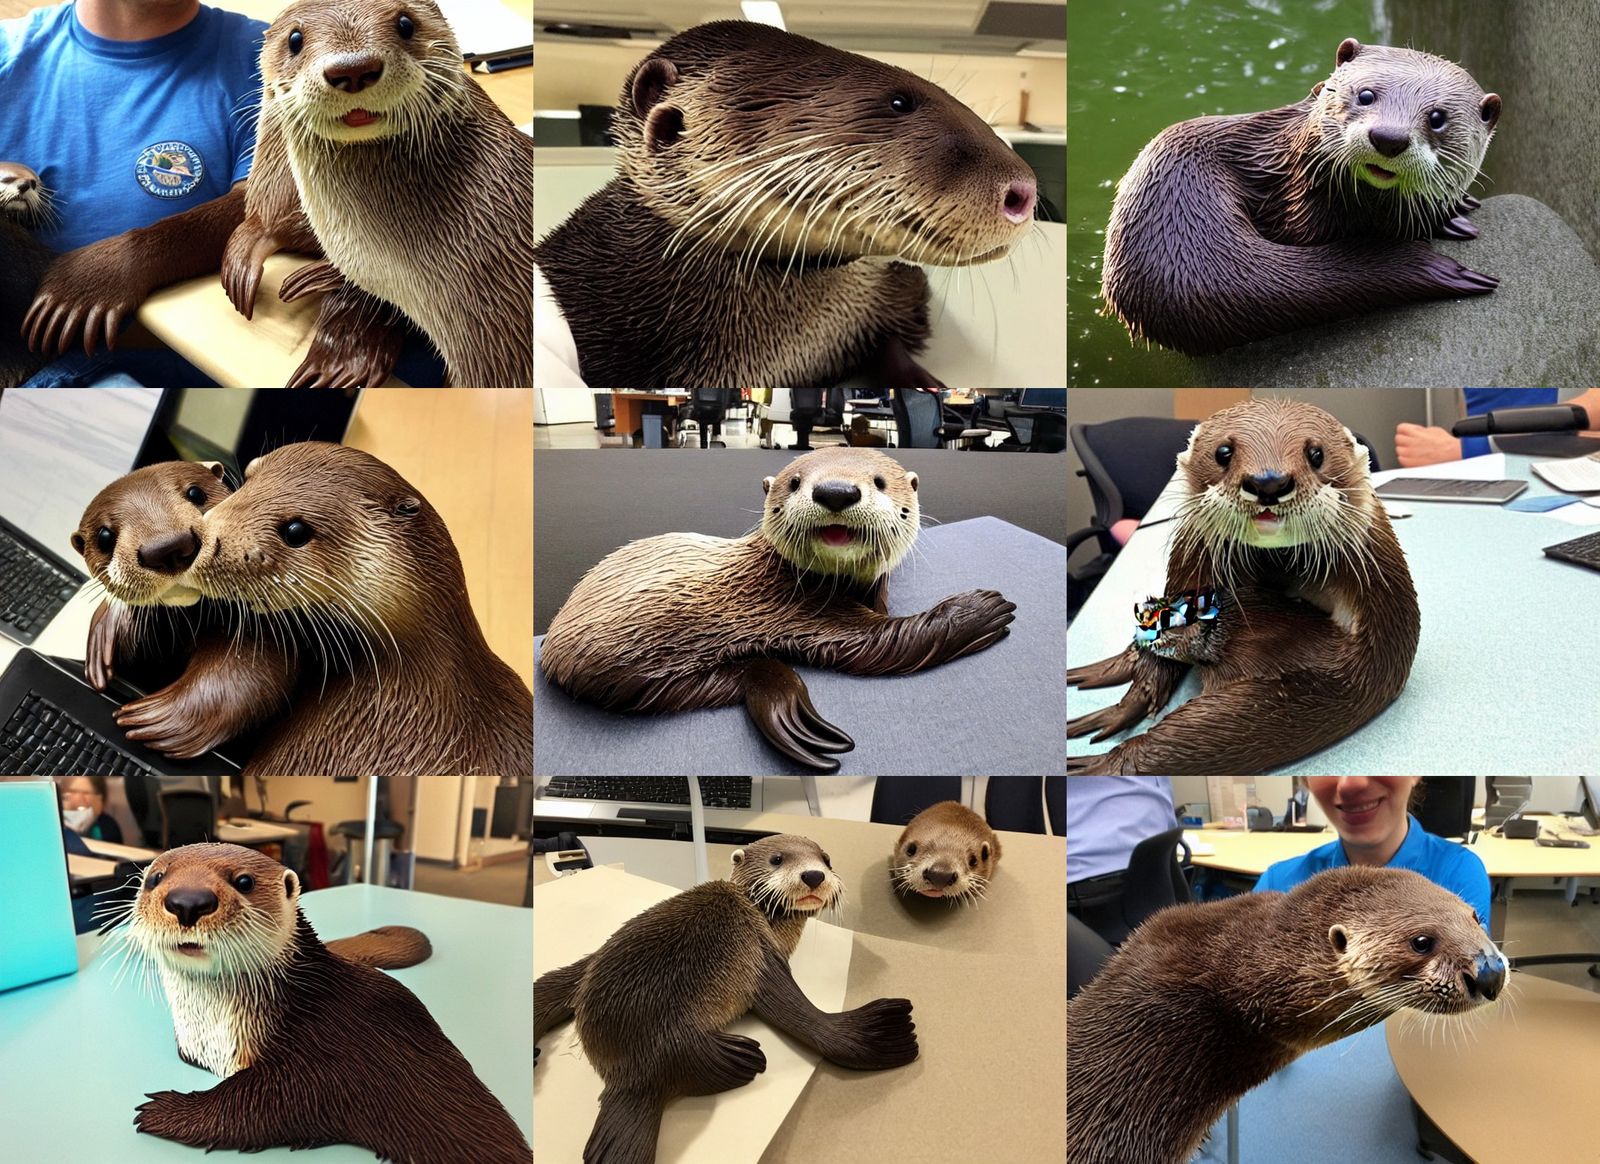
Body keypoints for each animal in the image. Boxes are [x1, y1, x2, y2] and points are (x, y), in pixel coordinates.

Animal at [71, 461, 299, 759]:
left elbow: (251, 672)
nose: (166, 548)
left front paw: (162, 716)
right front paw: (105, 633)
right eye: (104, 537)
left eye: (196, 493)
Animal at [121, 843, 529, 1162]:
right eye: (155, 878)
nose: (188, 901)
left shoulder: (330, 1059)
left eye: (244, 882)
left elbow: (265, 1103)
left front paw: (165, 1110)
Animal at [534, 834, 918, 1163]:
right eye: (777, 859)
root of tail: (627, 1072)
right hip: (673, 1037)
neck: (761, 914)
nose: (813, 874)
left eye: (827, 859)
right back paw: (749, 1058)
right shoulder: (760, 949)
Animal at [539, 447, 1016, 771]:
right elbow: (882, 642)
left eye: (880, 481)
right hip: (629, 659)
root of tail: (553, 651)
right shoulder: (800, 610)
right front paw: (981, 609)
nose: (836, 491)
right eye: (796, 481)